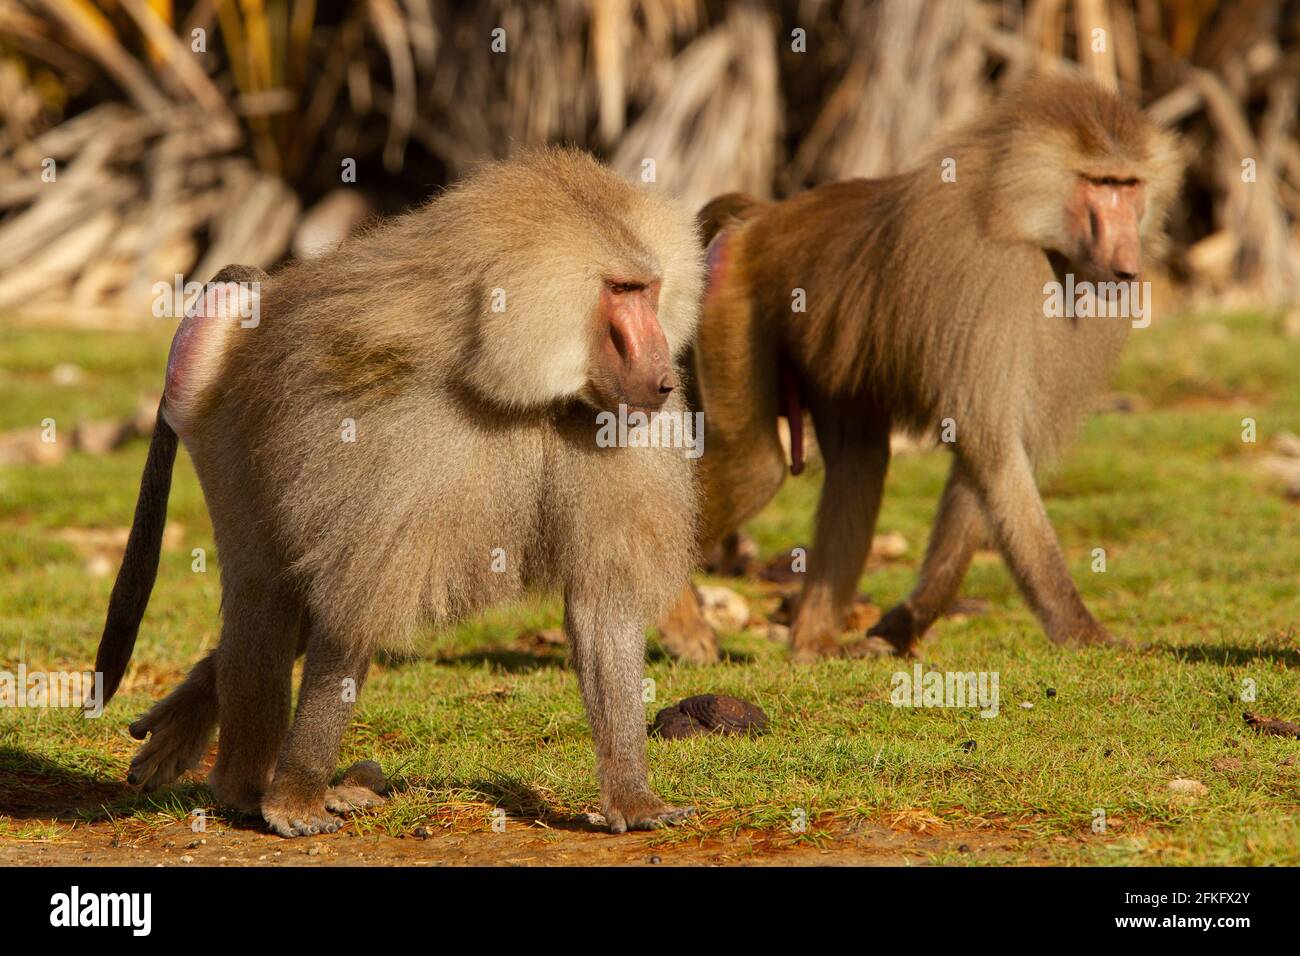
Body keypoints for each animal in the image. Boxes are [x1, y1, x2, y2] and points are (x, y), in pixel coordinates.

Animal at [93, 147, 706, 836]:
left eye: (649, 290)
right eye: (620, 291)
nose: (662, 381)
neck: (511, 378)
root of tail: (262, 297)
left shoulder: (606, 424)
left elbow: (605, 606)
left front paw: (634, 800)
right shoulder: (401, 433)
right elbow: (358, 605)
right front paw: (295, 801)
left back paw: (196, 728)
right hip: (214, 411)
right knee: (267, 590)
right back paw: (247, 791)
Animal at [658, 74, 1185, 663]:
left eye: (1130, 185)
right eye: (1099, 183)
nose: (1127, 260)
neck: (1015, 218)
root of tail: (762, 216)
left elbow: (987, 464)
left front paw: (902, 623)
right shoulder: (985, 284)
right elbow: (994, 452)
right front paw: (1081, 631)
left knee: (860, 462)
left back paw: (813, 645)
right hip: (734, 305)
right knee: (755, 465)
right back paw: (679, 621)